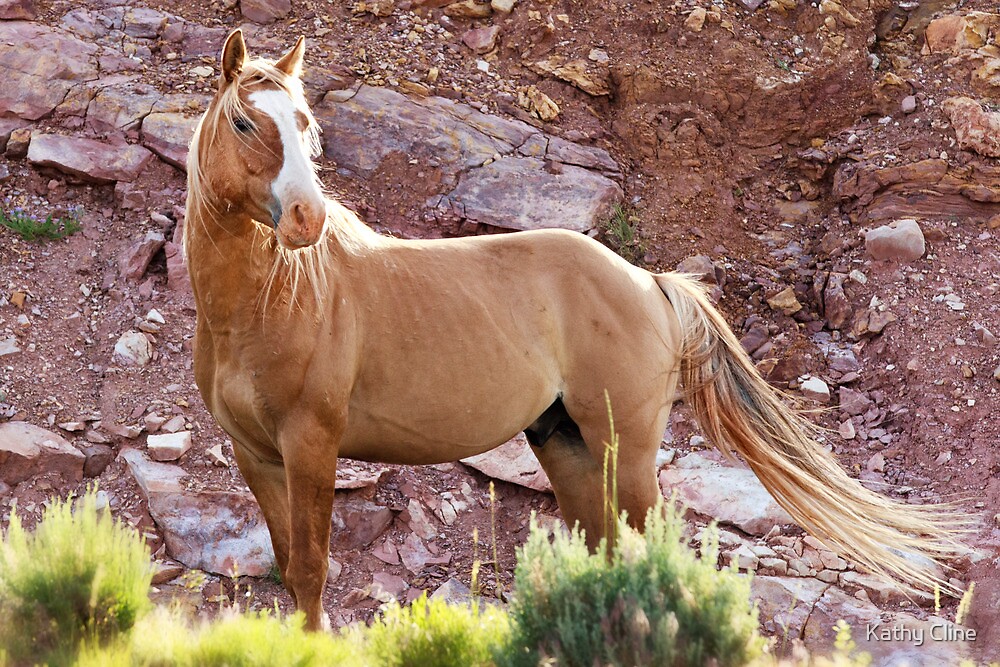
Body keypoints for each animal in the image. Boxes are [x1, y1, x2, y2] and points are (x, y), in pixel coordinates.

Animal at [185, 30, 967, 631]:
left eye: (304, 122)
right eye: (246, 123)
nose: (306, 220)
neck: (269, 302)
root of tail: (650, 283)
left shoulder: (312, 445)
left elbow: (314, 571)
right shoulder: (257, 455)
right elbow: (291, 569)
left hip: (627, 451)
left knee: (649, 554)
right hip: (568, 446)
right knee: (606, 553)